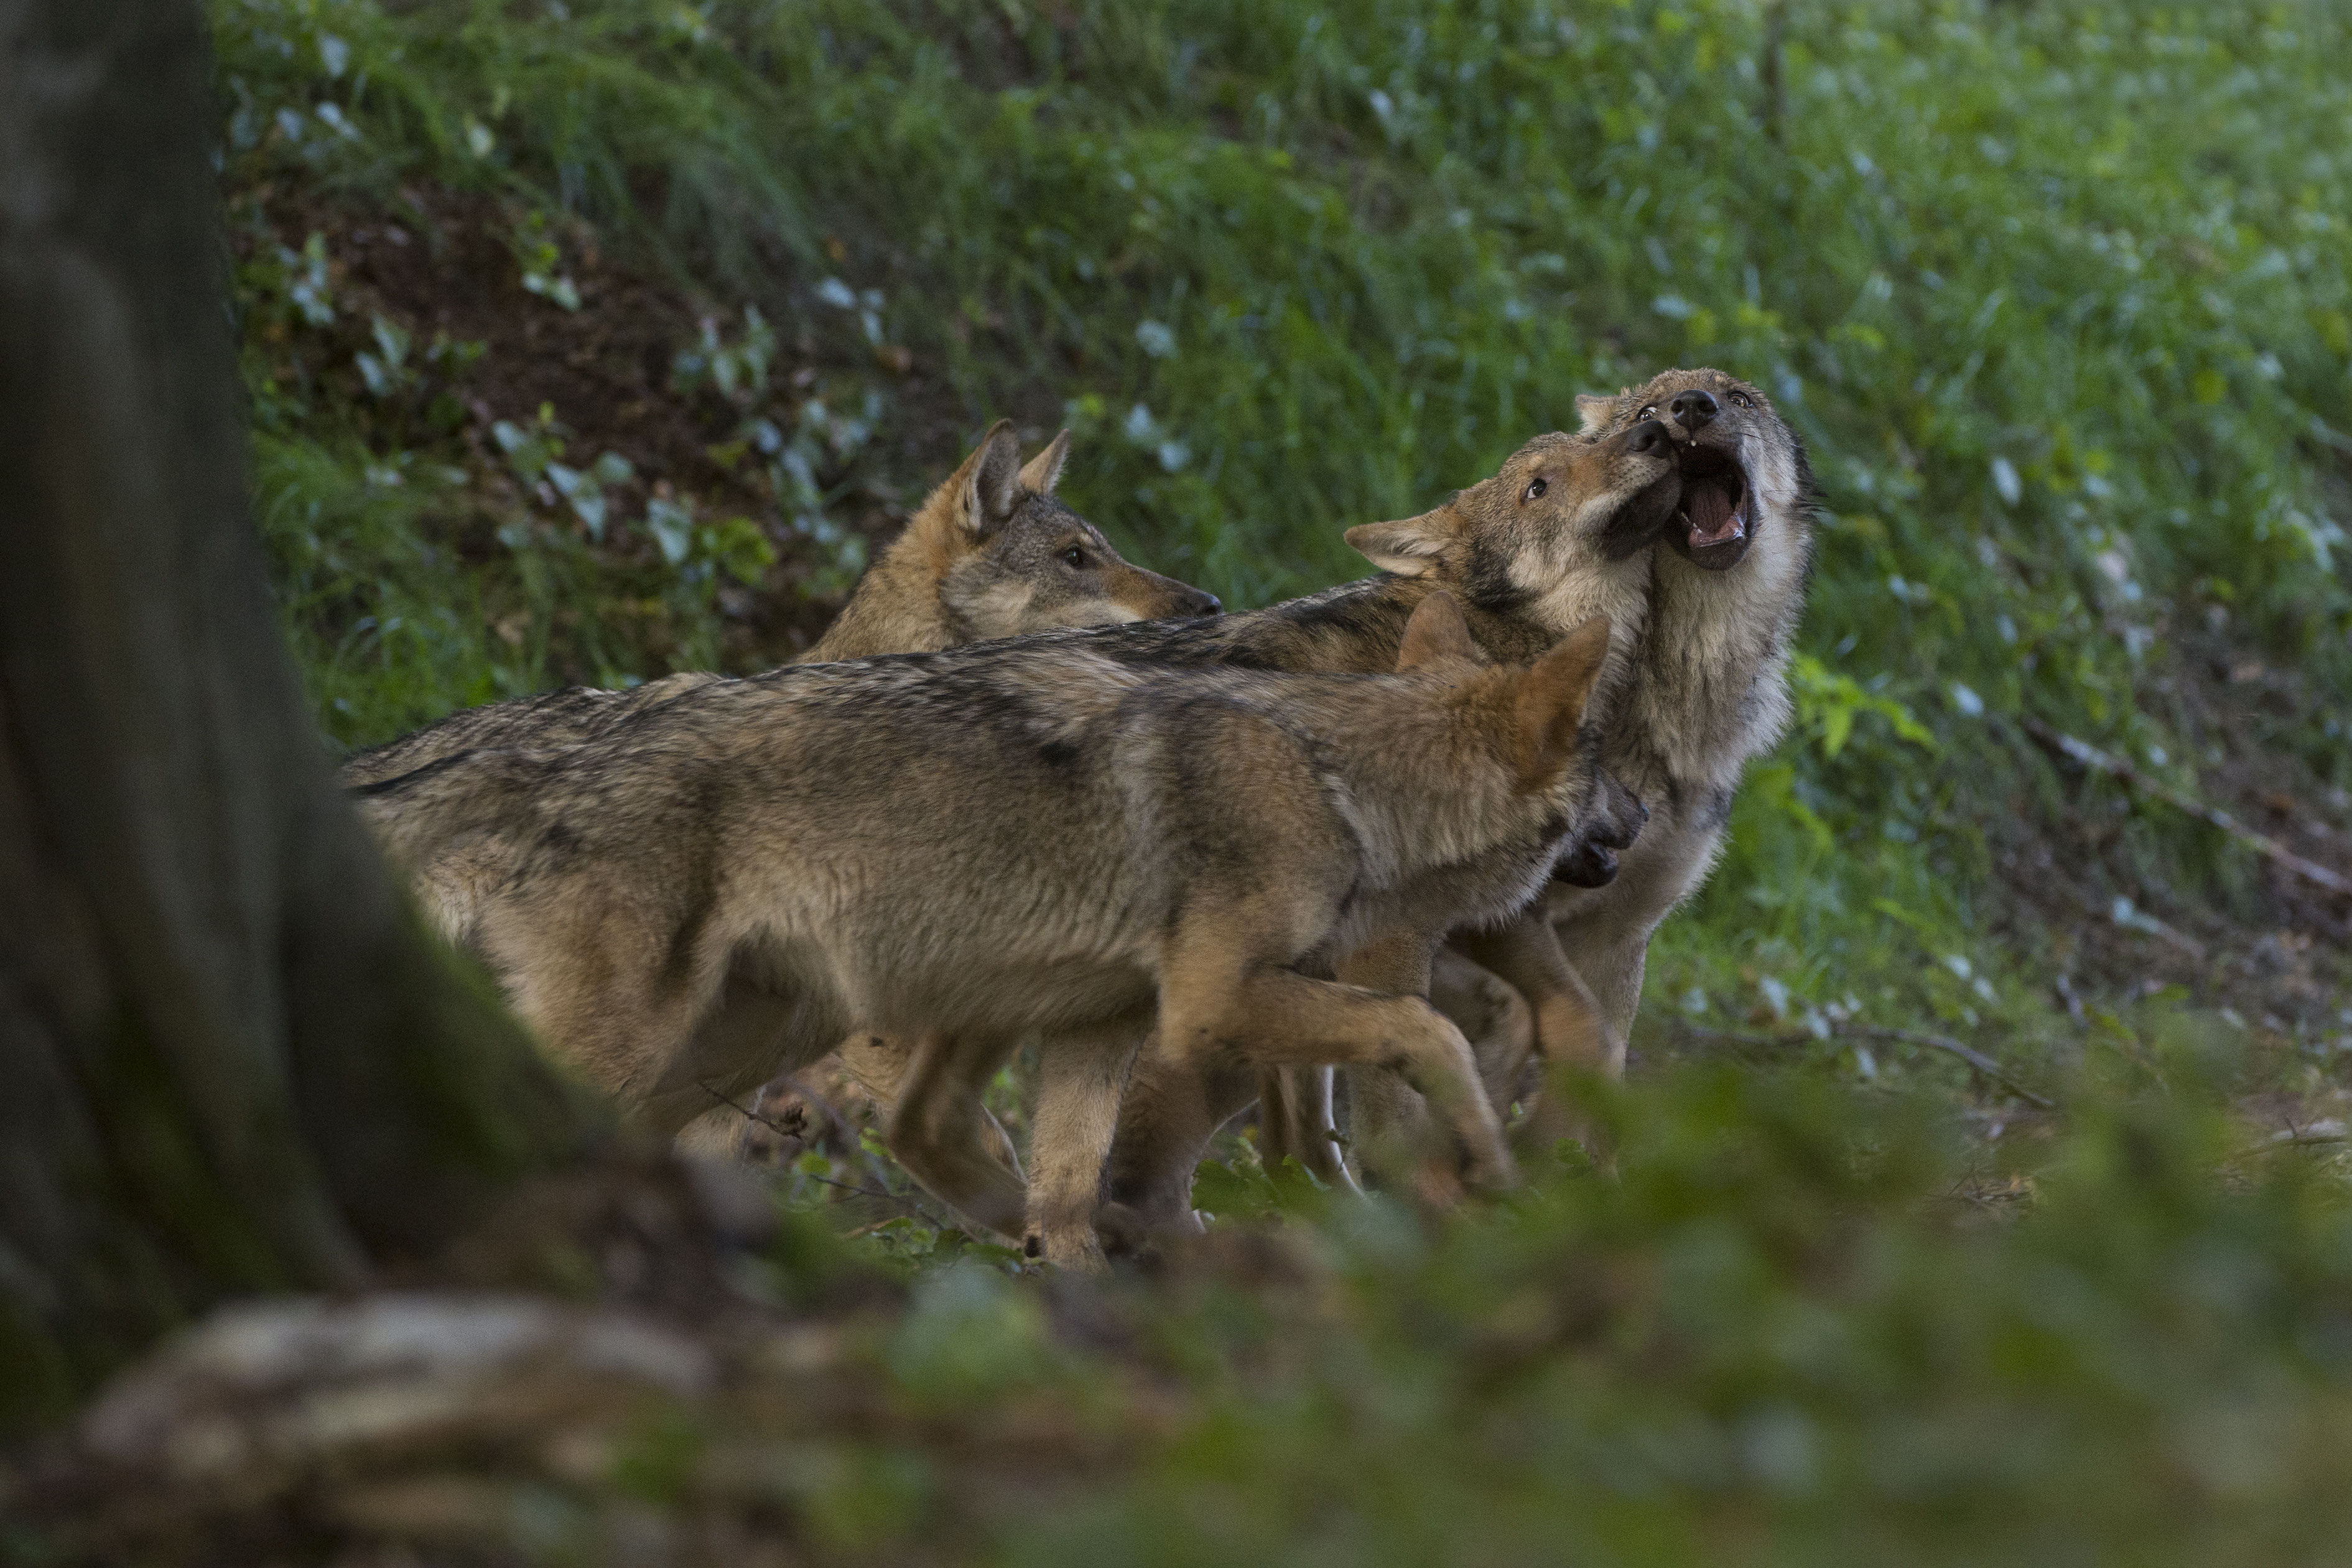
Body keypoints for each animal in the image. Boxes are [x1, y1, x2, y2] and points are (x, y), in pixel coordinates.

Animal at [355, 593, 1615, 1268]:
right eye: (1606, 773)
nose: (1638, 828)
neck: (1341, 782)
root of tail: (554, 749)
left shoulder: (1103, 1028)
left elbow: (1064, 1180)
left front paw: (1075, 1271)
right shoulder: (1210, 1008)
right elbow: (1425, 1030)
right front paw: (1488, 1161)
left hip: (752, 1041)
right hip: (655, 1042)